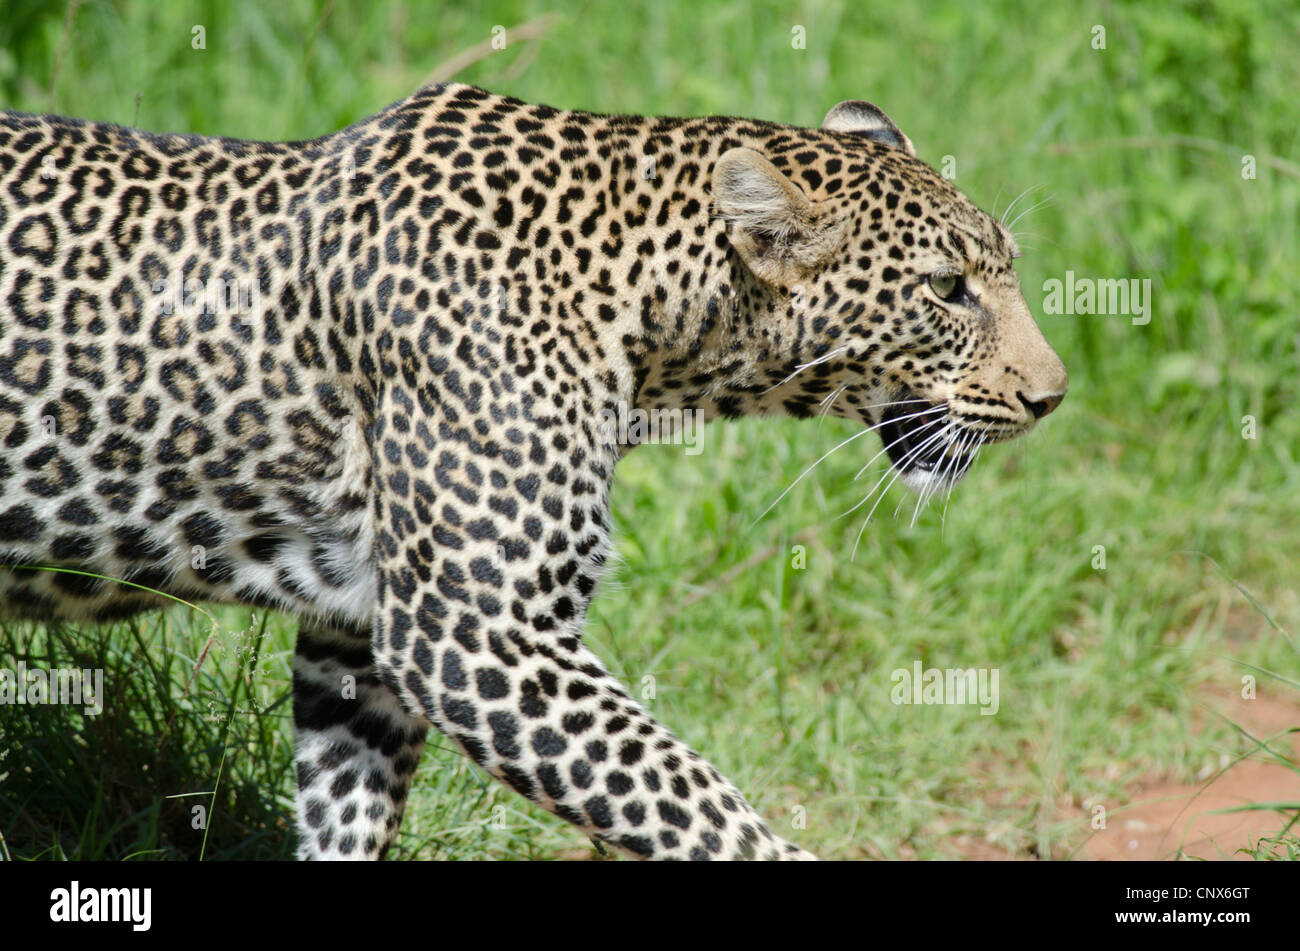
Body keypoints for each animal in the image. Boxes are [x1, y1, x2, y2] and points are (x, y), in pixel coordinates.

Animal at [0, 81, 1066, 860]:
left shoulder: (357, 641)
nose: (1054, 395)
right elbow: (692, 796)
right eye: (946, 289)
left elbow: (348, 814)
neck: (650, 328)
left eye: (1004, 268)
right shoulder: (477, 631)